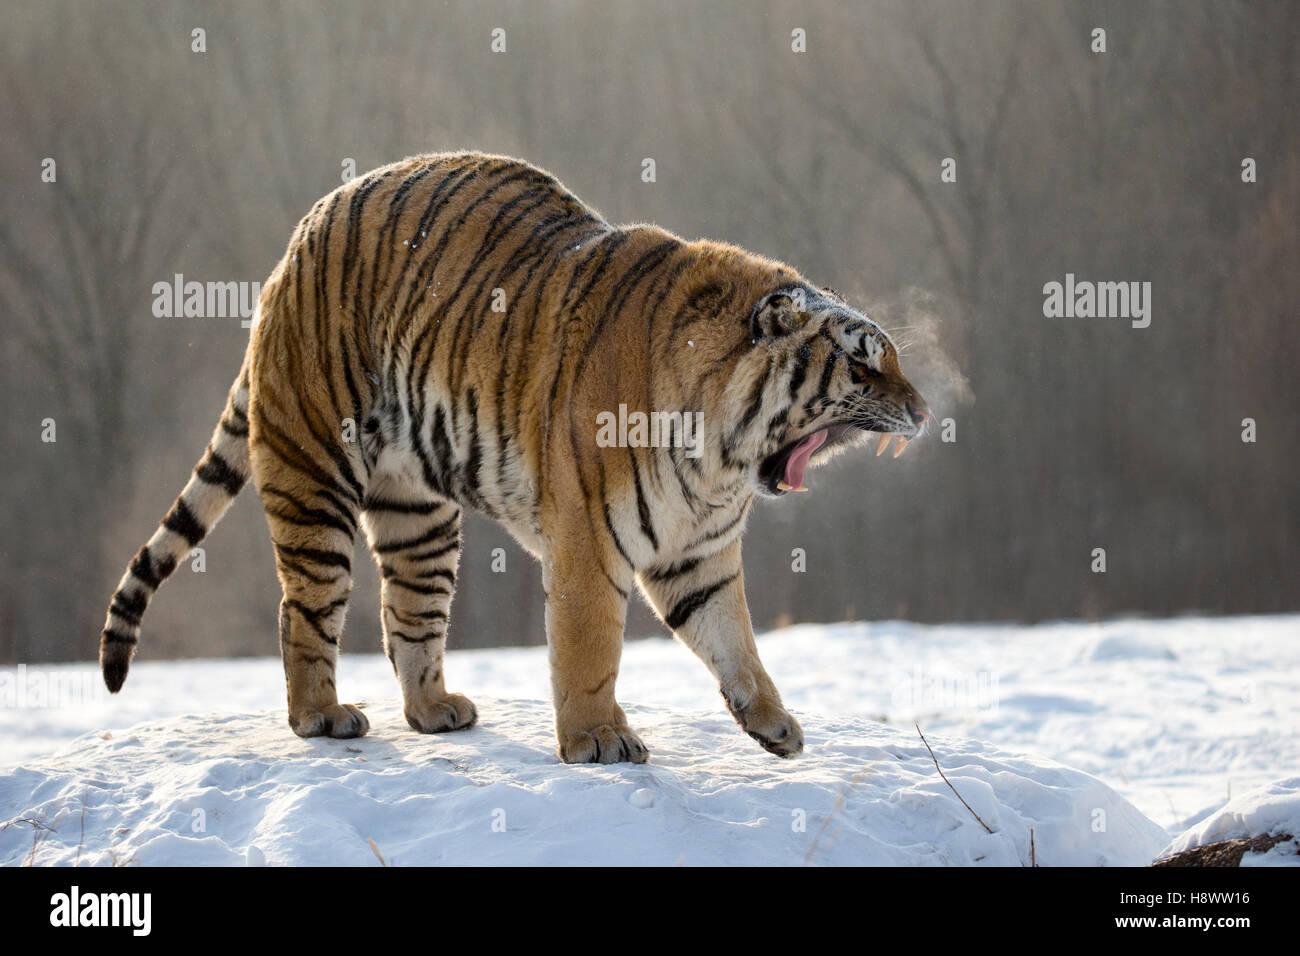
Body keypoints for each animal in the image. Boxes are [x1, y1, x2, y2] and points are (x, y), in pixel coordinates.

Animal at [99, 151, 930, 764]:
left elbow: (736, 641)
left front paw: (773, 723)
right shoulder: (589, 542)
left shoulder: (699, 555)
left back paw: (435, 709)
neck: (721, 459)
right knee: (303, 606)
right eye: (864, 365)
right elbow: (590, 647)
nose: (923, 414)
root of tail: (297, 240)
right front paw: (600, 740)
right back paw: (322, 716)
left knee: (408, 613)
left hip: (419, 515)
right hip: (315, 475)